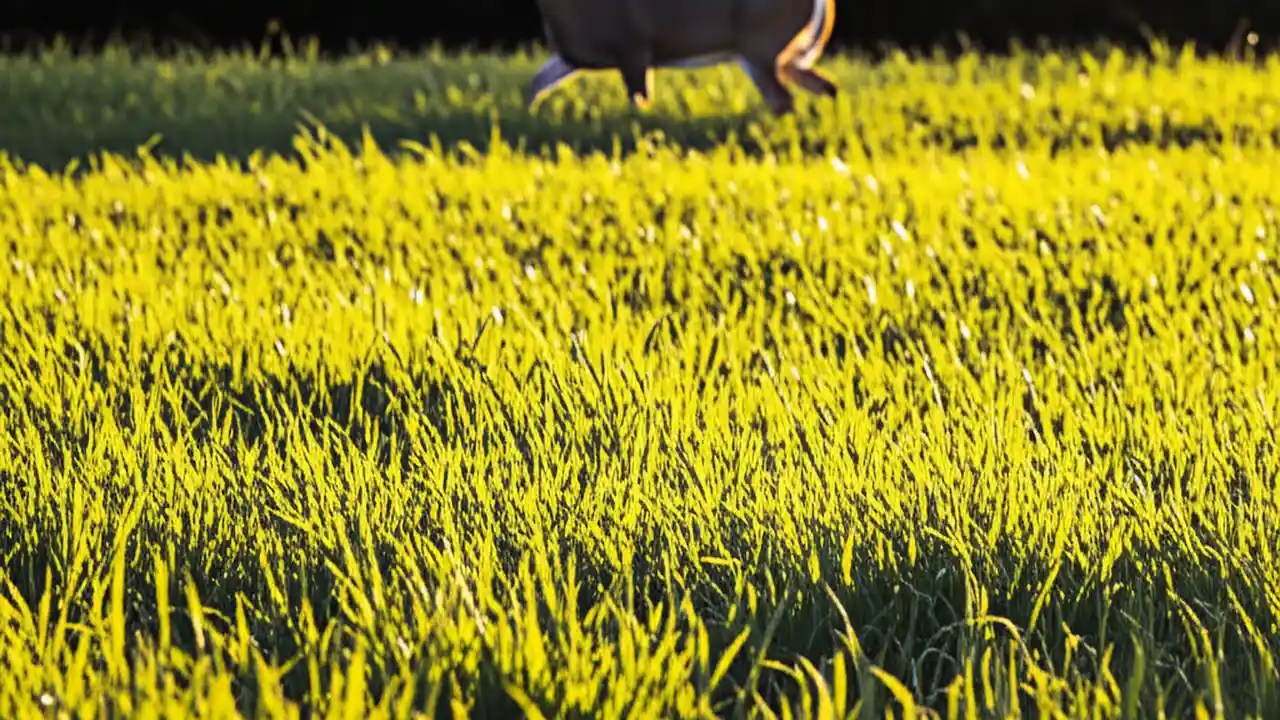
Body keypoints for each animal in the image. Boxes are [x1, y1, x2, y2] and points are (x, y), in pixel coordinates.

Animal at [526, 0, 837, 116]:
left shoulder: (634, 49)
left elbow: (639, 101)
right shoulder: (573, 59)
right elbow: (537, 82)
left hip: (760, 45)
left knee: (783, 100)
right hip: (784, 55)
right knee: (826, 88)